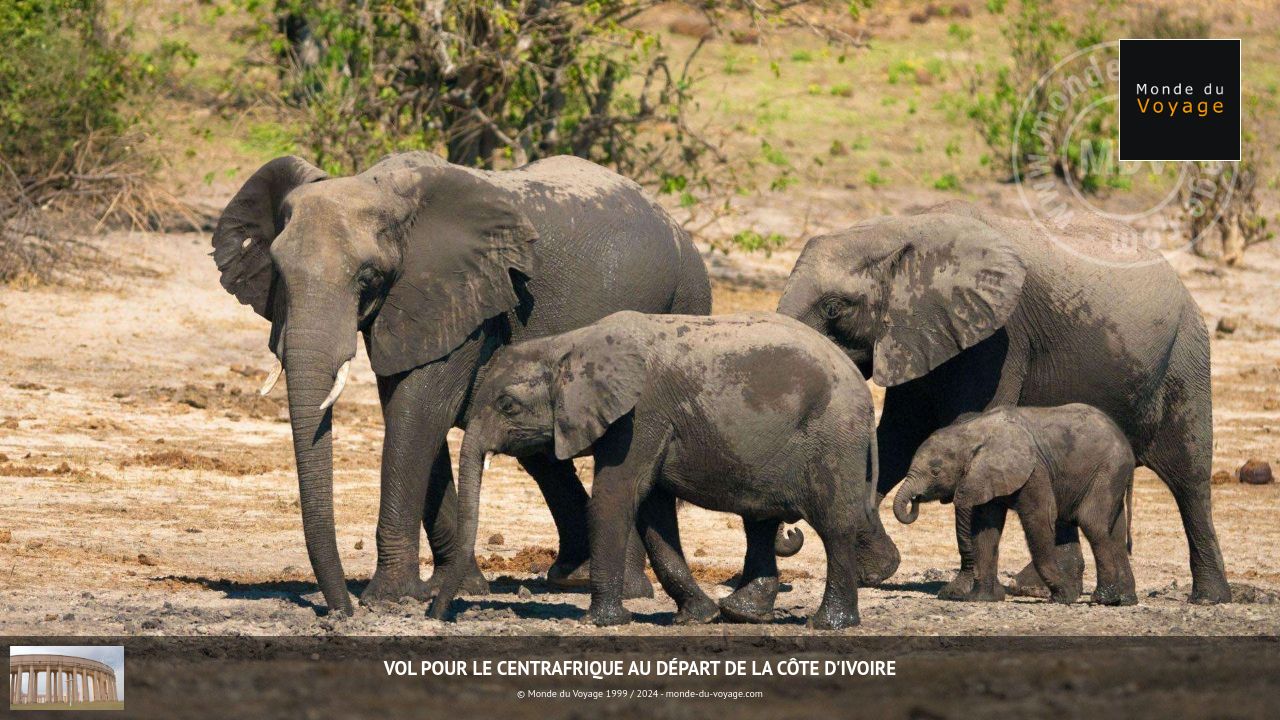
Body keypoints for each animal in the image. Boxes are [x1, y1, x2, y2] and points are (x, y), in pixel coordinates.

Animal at [209, 149, 711, 609]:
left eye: (367, 277)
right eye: (278, 273)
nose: (341, 610)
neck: (382, 189)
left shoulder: (463, 297)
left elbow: (417, 413)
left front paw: (387, 599)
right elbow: (408, 413)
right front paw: (457, 588)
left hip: (684, 298)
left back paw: (626, 589)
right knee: (543, 455)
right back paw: (573, 578)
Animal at [427, 311, 880, 625]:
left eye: (507, 405)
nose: (436, 615)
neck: (570, 344)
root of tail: (860, 383)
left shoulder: (640, 415)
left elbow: (614, 497)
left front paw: (602, 622)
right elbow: (653, 513)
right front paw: (697, 617)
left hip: (833, 435)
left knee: (834, 525)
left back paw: (830, 624)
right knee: (761, 522)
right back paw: (741, 614)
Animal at [896, 399, 1136, 602]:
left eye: (935, 472)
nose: (915, 500)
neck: (973, 432)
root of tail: (1127, 446)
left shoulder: (1035, 470)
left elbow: (1039, 519)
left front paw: (1063, 597)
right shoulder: (984, 475)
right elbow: (985, 529)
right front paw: (982, 599)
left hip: (1107, 470)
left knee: (1091, 523)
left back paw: (1103, 599)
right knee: (1115, 532)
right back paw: (1124, 600)